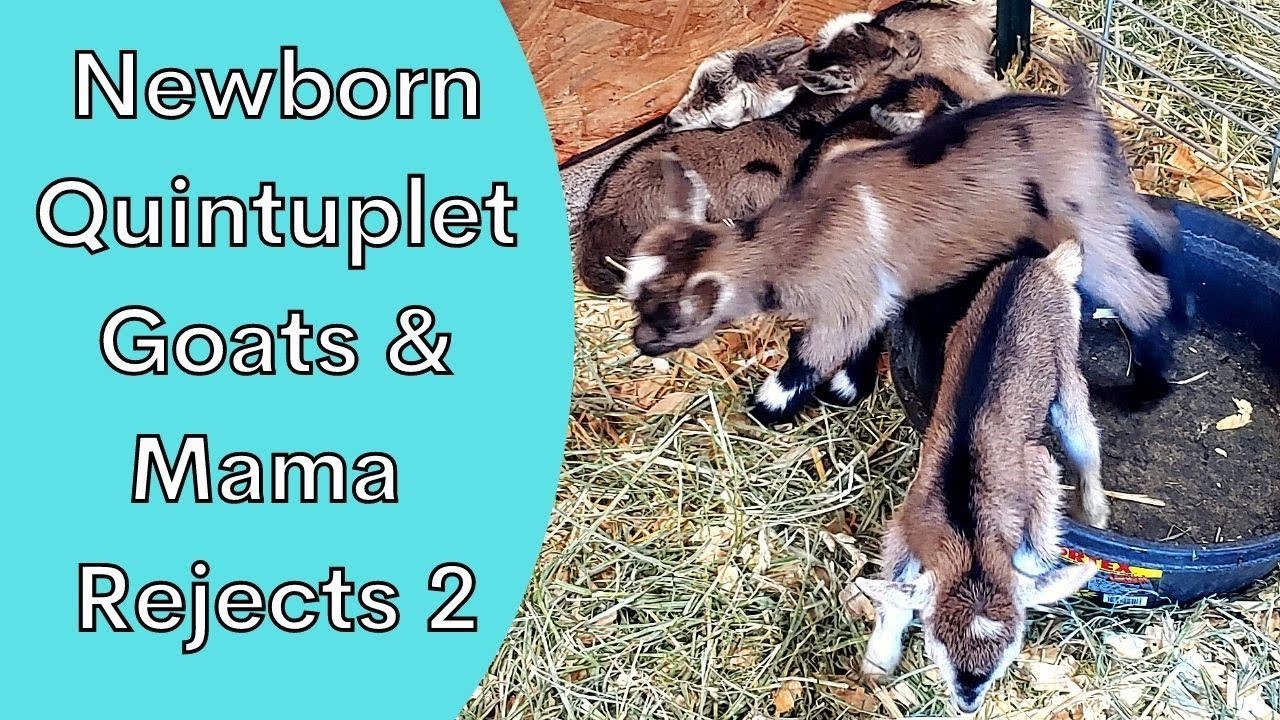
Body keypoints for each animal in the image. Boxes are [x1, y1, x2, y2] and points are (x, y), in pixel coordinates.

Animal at [622, 76, 1187, 426]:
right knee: (1160, 234)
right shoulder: (876, 294)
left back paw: (1146, 387)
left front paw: (768, 407)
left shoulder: (846, 302)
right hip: (1107, 204)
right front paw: (847, 386)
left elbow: (807, 357)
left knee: (1140, 291)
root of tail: (1087, 116)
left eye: (671, 317)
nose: (640, 343)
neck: (798, 235)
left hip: (1083, 222)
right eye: (635, 298)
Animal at [856, 243, 1104, 715]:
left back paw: (1096, 511)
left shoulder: (1038, 468)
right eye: (936, 643)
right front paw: (878, 663)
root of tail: (1040, 265)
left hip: (1066, 358)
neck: (968, 534)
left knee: (1081, 435)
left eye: (1011, 646)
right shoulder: (909, 519)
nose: (968, 700)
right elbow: (895, 591)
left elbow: (1033, 558)